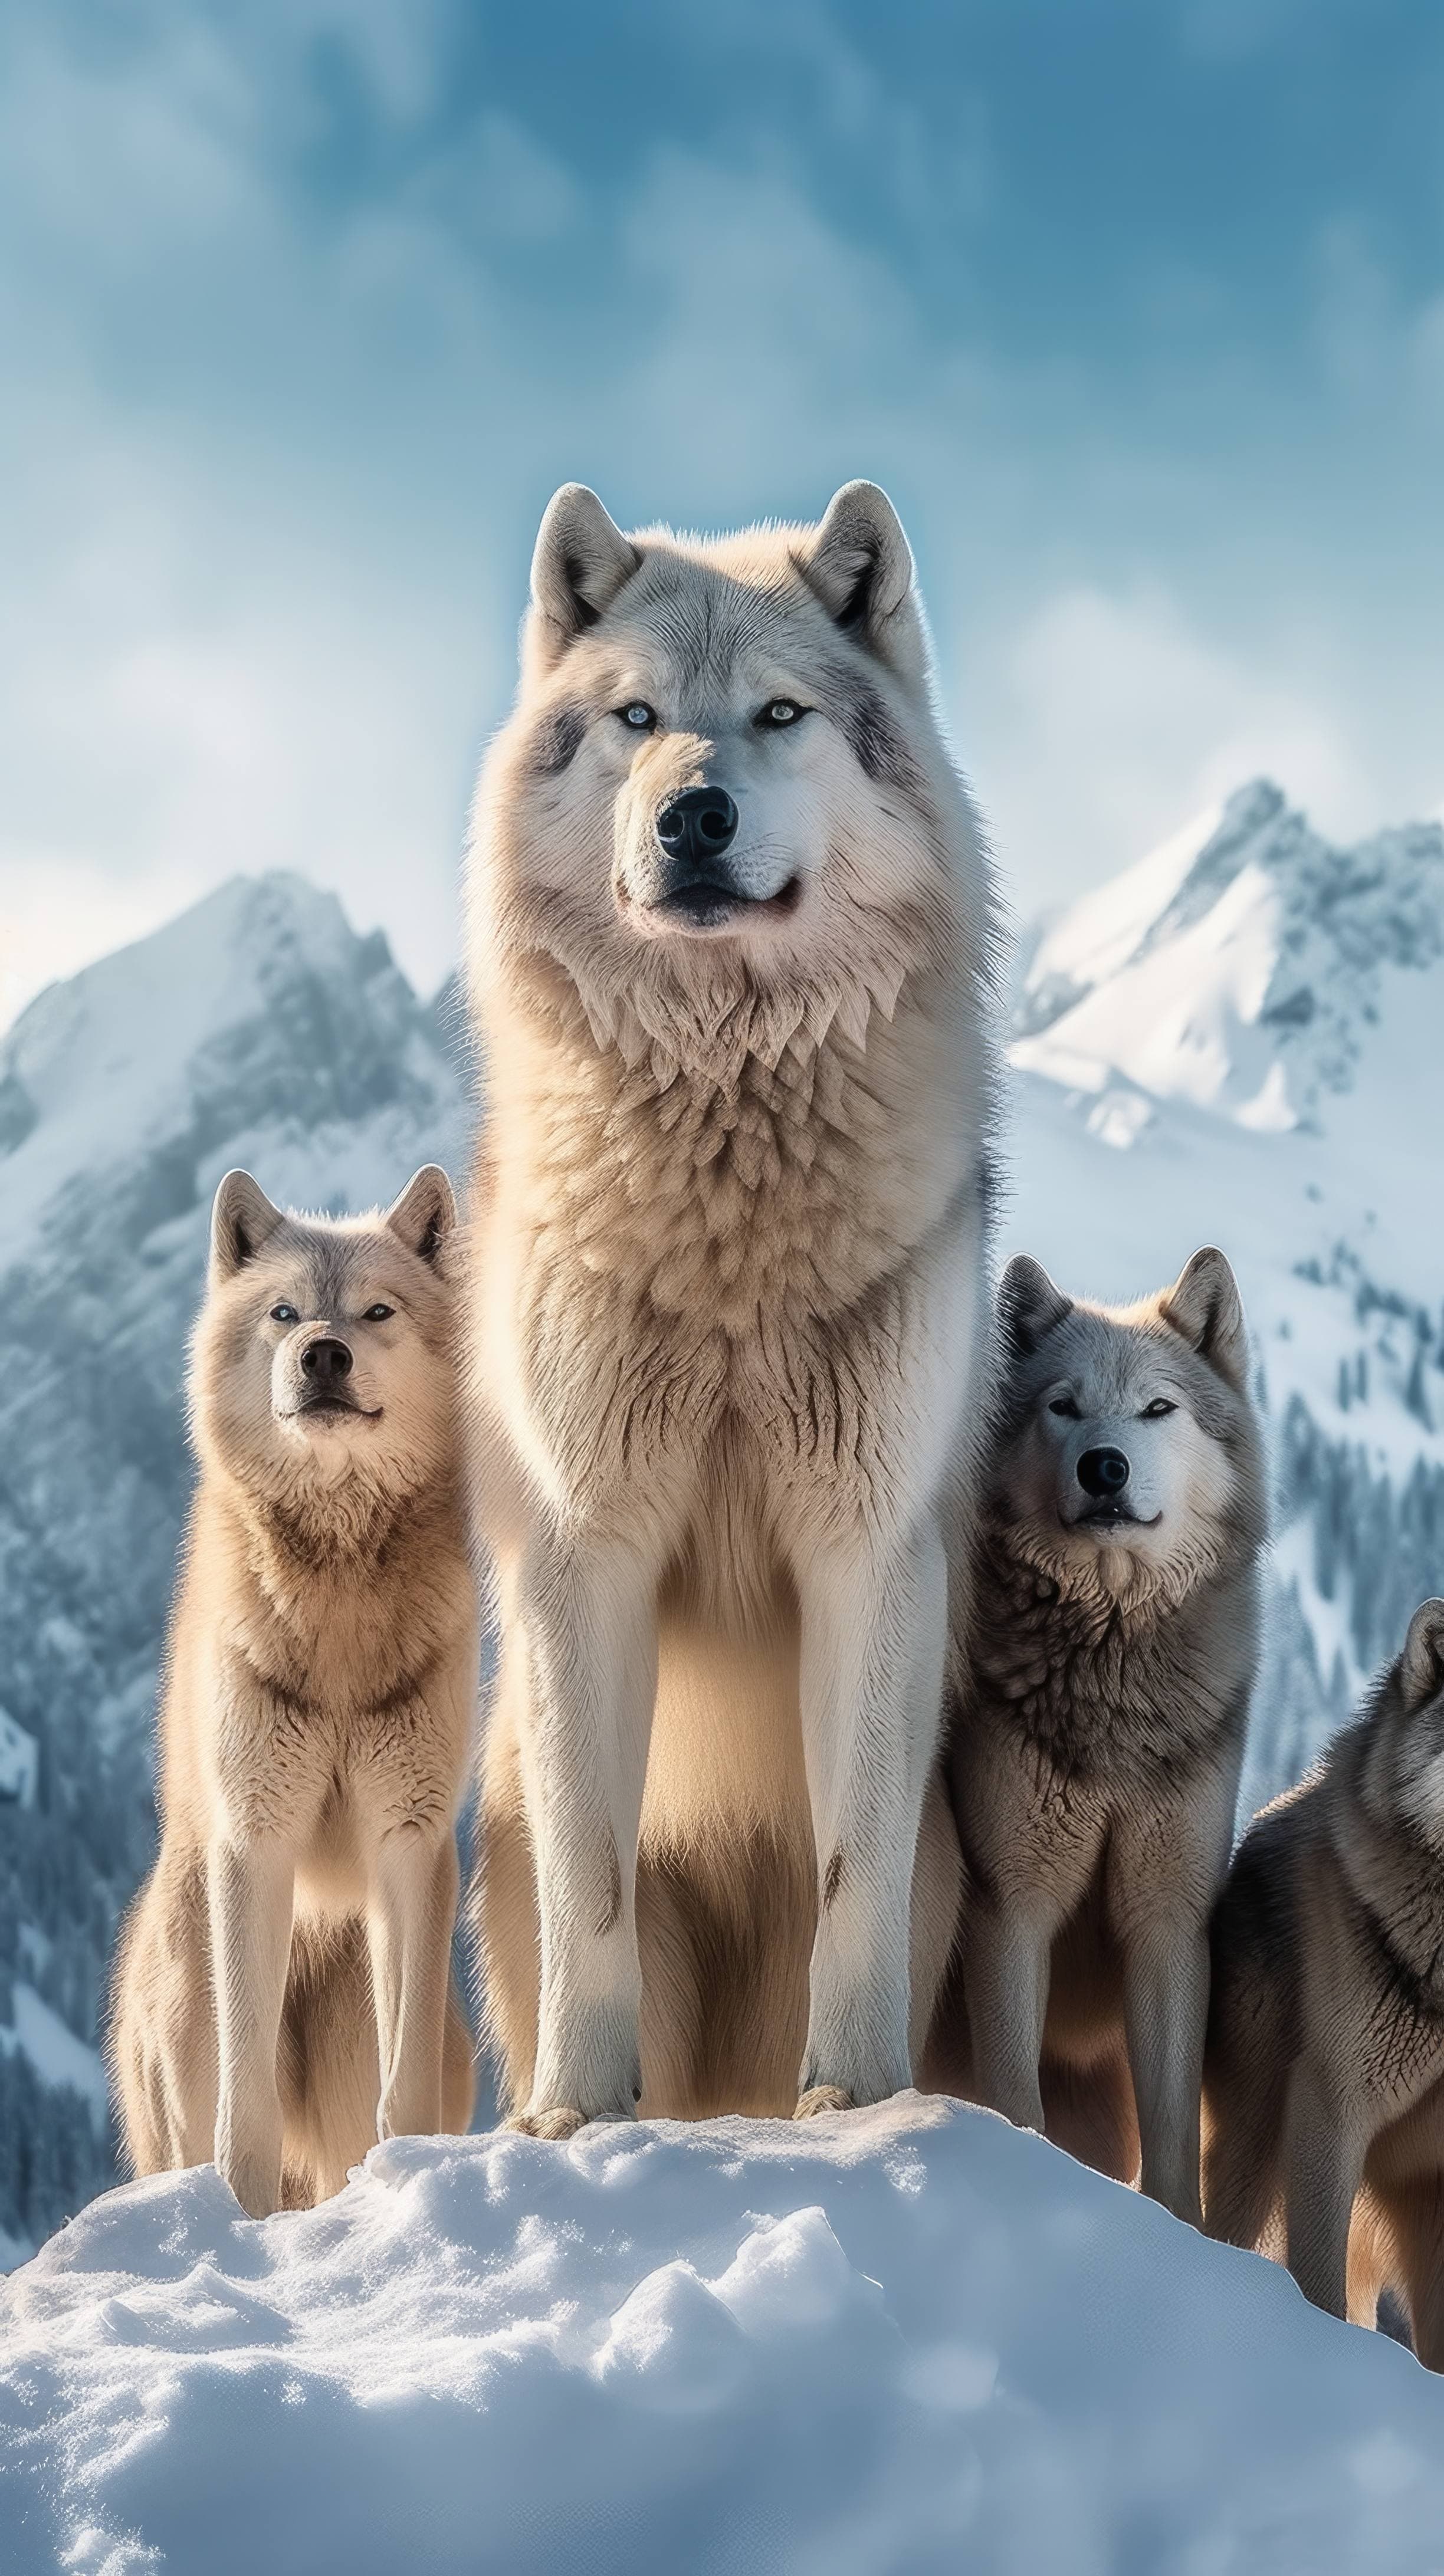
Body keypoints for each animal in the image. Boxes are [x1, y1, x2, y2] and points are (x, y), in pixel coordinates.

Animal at [109, 1167, 477, 2217]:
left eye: (376, 1311)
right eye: (283, 1312)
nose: (323, 1352)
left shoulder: (411, 1840)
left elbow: (406, 2084)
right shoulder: (257, 1840)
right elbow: (248, 2102)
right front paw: (239, 2212)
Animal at [466, 479, 995, 2134]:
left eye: (777, 715)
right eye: (637, 717)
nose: (690, 813)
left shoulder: (867, 1550)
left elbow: (851, 1873)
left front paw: (859, 2106)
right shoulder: (587, 1550)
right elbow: (593, 1883)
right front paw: (575, 2120)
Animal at [925, 1248, 1265, 2223]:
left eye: (1157, 1409)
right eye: (1064, 1406)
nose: (1105, 1467)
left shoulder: (1168, 1925)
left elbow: (1175, 2133)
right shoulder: (1013, 1908)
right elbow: (1014, 2096)